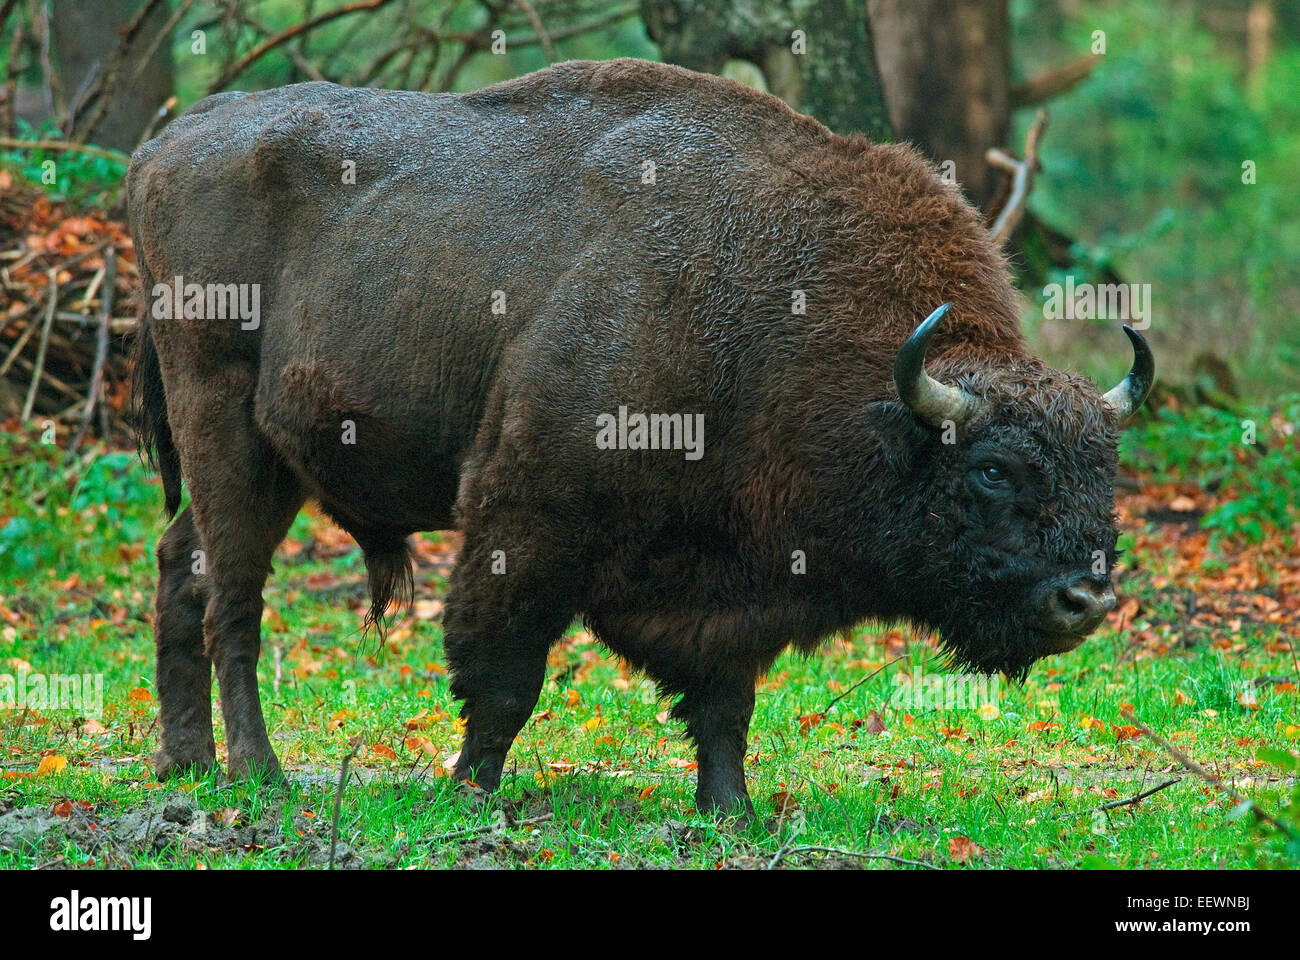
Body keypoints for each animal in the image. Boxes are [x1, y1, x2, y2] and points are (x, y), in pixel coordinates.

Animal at [128, 58, 1153, 823]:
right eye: (993, 469)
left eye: (1102, 468)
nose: (1087, 597)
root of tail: (165, 143)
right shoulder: (525, 522)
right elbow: (504, 675)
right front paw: (471, 793)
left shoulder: (732, 579)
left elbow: (724, 701)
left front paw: (731, 812)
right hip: (222, 423)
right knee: (232, 600)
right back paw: (256, 774)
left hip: (267, 461)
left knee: (181, 567)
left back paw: (183, 765)